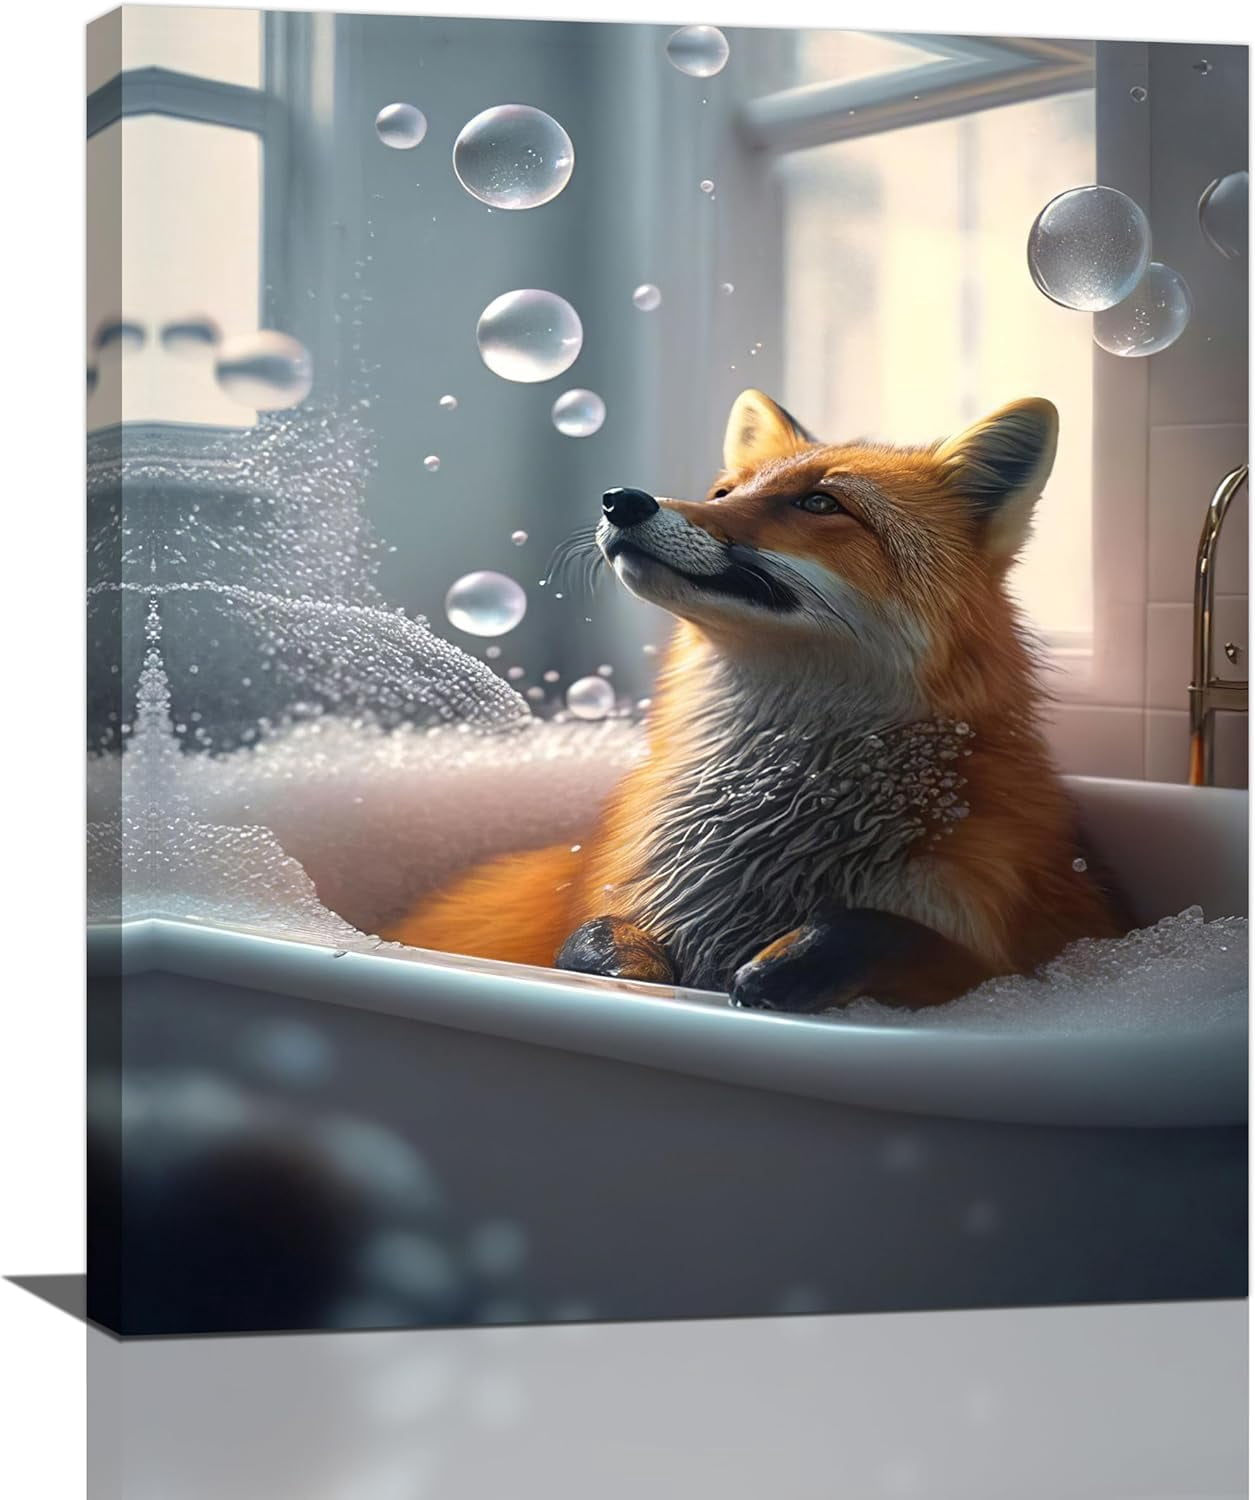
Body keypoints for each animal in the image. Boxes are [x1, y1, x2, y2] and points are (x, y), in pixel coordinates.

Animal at [384, 388, 1125, 1012]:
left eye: (820, 504)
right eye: (722, 491)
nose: (620, 500)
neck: (769, 830)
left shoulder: (998, 945)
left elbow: (897, 934)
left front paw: (799, 959)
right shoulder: (624, 893)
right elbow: (593, 933)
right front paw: (624, 968)